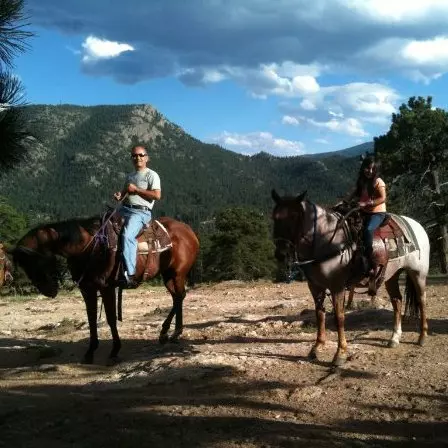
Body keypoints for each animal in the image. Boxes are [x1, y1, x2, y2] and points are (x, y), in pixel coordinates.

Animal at [11, 214, 200, 364]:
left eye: (37, 261)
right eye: (25, 267)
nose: (49, 291)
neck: (89, 247)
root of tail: (189, 231)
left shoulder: (106, 287)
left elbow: (110, 319)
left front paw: (115, 350)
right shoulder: (87, 289)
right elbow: (91, 319)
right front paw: (90, 352)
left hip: (177, 274)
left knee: (179, 296)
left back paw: (170, 332)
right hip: (168, 275)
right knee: (177, 297)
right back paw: (170, 332)